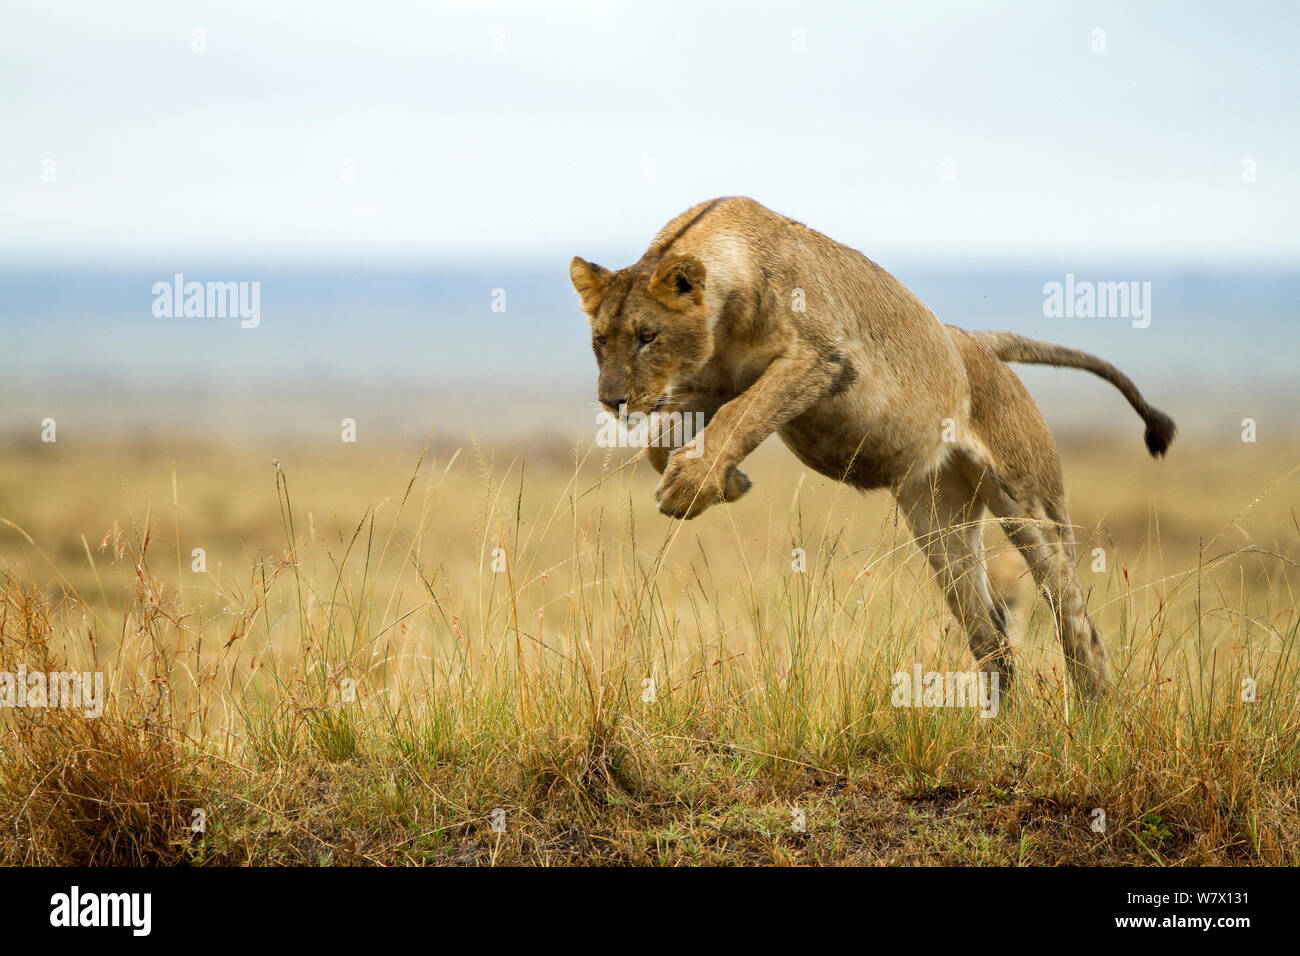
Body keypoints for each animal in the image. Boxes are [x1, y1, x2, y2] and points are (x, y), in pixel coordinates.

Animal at [569, 197, 1175, 700]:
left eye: (647, 337)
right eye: (600, 341)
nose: (611, 400)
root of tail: (973, 340)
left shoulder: (820, 360)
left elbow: (742, 415)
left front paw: (692, 486)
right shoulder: (701, 384)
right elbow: (662, 441)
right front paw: (722, 481)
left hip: (1030, 504)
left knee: (1077, 624)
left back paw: (1097, 719)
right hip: (940, 521)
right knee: (993, 639)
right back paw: (1000, 730)